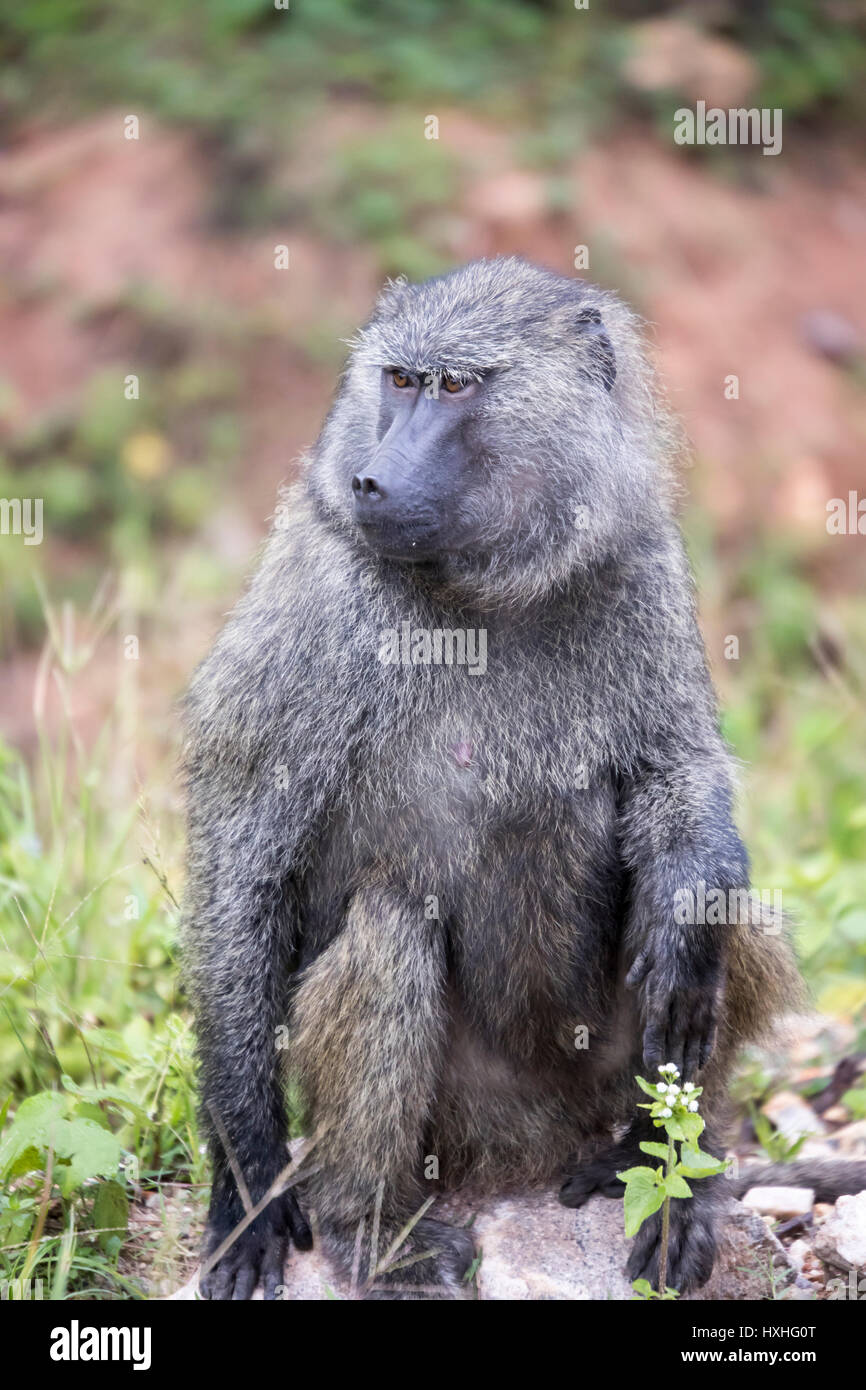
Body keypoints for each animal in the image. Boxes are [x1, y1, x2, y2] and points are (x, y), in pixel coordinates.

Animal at [181, 257, 858, 1301]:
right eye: (399, 380)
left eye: (458, 386)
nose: (372, 478)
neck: (484, 590)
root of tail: (527, 1154)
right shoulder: (314, 596)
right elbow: (244, 861)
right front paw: (249, 1180)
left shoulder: (638, 556)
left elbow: (680, 771)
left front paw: (686, 922)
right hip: (456, 1118)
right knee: (390, 928)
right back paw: (374, 1227)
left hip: (600, 1078)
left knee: (713, 910)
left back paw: (661, 1173)